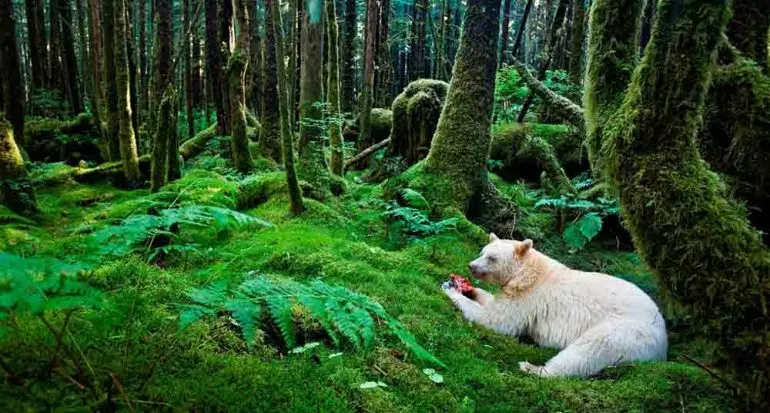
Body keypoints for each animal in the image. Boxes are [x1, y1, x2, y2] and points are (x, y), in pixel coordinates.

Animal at [444, 233, 664, 374]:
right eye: (482, 251)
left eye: (491, 258)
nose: (471, 266)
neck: (528, 272)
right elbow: (493, 303)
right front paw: (468, 288)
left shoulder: (529, 297)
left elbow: (497, 321)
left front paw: (451, 290)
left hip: (627, 332)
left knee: (588, 351)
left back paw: (533, 368)